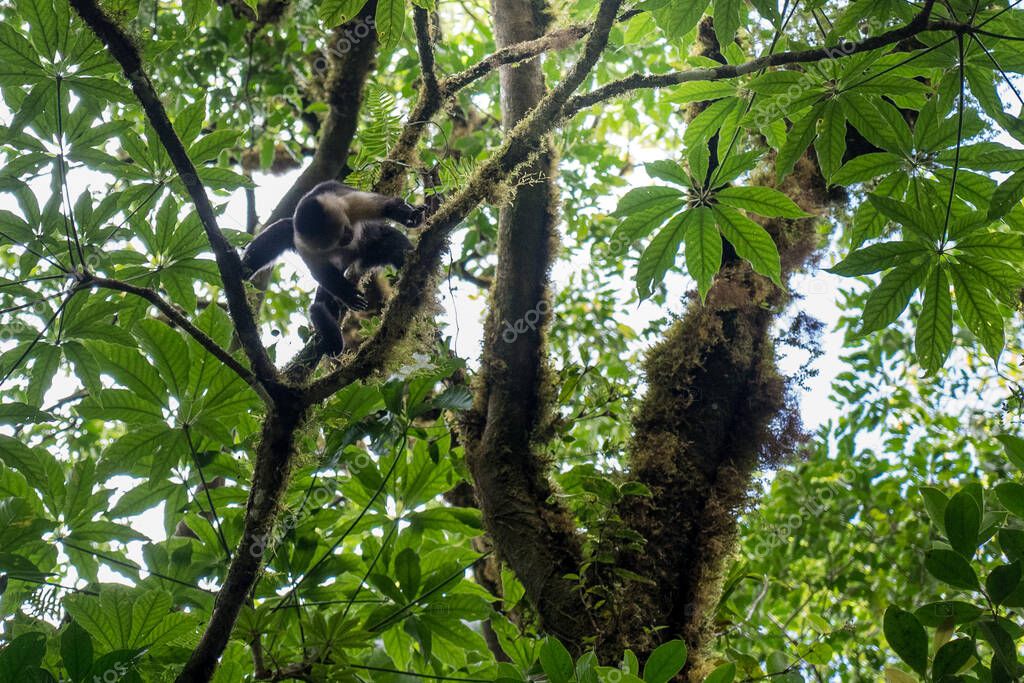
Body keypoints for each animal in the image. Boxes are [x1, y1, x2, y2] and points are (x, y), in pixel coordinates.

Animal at [241, 181, 424, 355]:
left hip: (372, 246)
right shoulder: (304, 245)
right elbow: (323, 274)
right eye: (339, 238)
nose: (349, 238)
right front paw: (349, 296)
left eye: (344, 231)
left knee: (391, 242)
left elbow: (387, 206)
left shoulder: (347, 202)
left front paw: (410, 216)